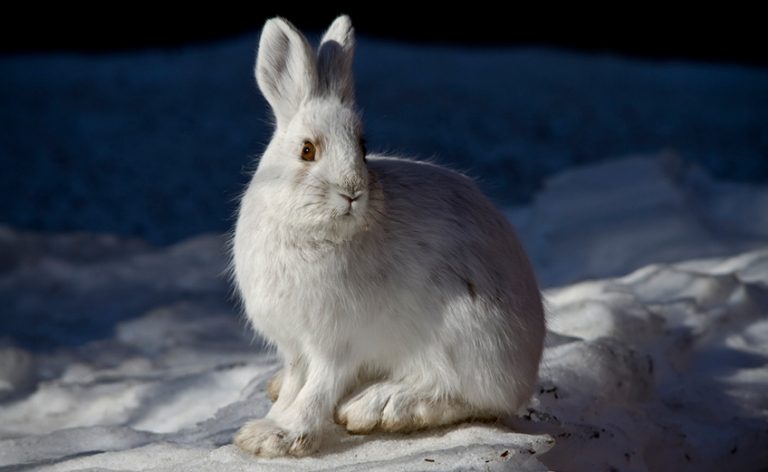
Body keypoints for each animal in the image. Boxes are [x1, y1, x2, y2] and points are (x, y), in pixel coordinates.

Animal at [232, 15, 545, 458]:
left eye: (363, 149)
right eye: (307, 150)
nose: (352, 191)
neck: (318, 232)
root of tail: (527, 365)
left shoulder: (337, 343)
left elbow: (318, 388)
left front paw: (281, 435)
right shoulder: (295, 346)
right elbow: (296, 382)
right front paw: (266, 425)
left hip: (465, 335)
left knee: (467, 396)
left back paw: (381, 405)